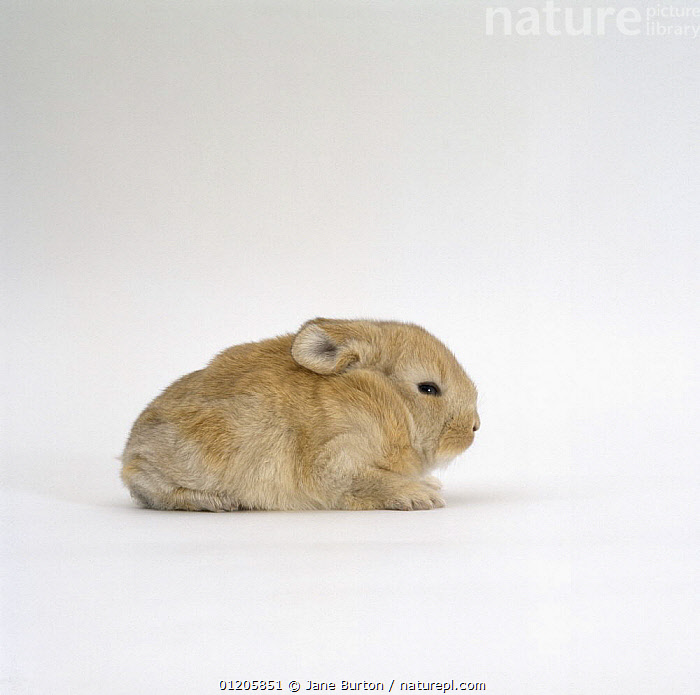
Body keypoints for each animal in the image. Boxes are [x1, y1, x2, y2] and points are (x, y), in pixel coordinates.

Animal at [120, 318, 479, 511]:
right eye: (428, 388)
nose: (475, 426)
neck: (380, 402)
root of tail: (130, 449)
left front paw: (430, 485)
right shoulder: (336, 459)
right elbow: (370, 480)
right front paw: (420, 496)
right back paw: (215, 502)